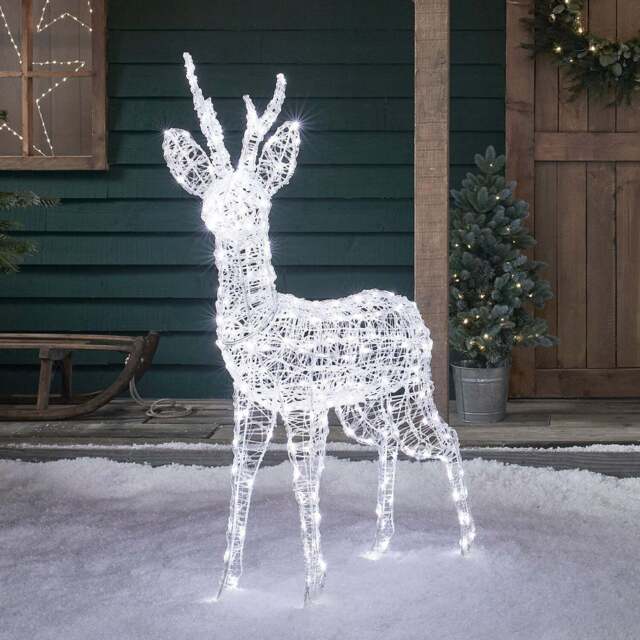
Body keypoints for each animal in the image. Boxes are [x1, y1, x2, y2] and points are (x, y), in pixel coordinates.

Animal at [163, 53, 475, 605]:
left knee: (447, 438)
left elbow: (305, 484)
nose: (229, 217)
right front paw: (224, 590)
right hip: (362, 405)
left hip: (411, 388)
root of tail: (410, 310)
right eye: (214, 197)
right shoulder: (251, 403)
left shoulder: (302, 403)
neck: (262, 323)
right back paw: (379, 545)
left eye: (257, 200)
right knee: (389, 440)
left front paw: (312, 592)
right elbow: (241, 478)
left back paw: (467, 547)